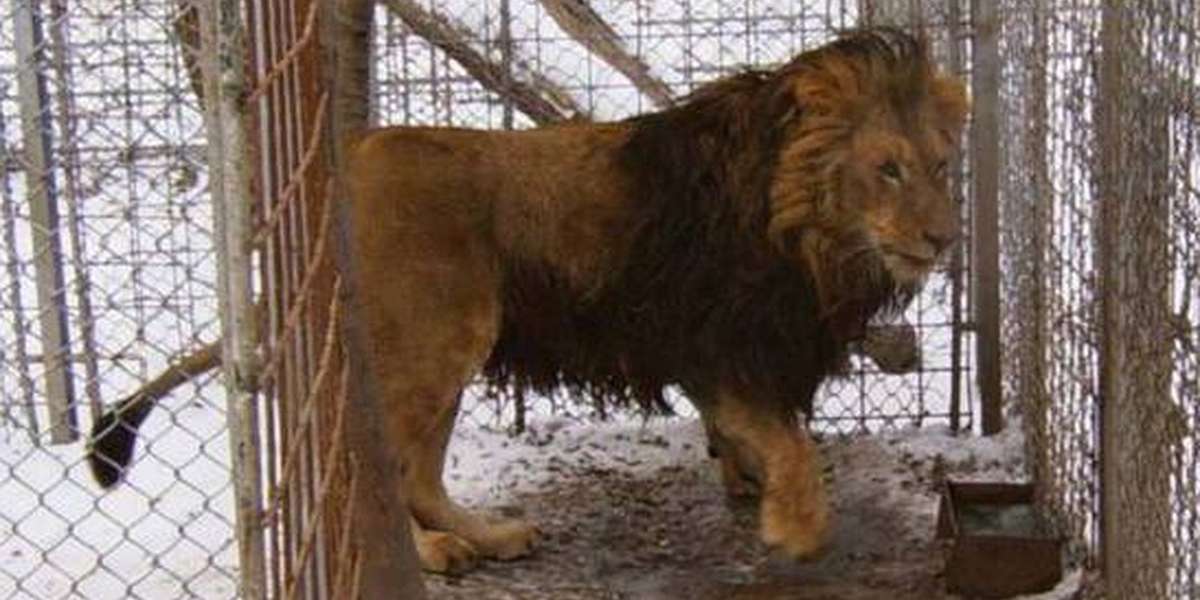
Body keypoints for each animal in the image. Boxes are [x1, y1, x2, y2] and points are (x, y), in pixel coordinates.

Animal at [87, 28, 967, 575]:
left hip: (443, 342)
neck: (812, 233)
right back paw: (431, 555)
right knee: (389, 471)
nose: (943, 238)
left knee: (420, 475)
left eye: (940, 165)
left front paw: (749, 487)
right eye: (887, 169)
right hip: (432, 339)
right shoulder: (719, 343)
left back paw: (491, 535)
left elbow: (758, 438)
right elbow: (791, 445)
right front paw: (796, 527)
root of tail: (356, 156)